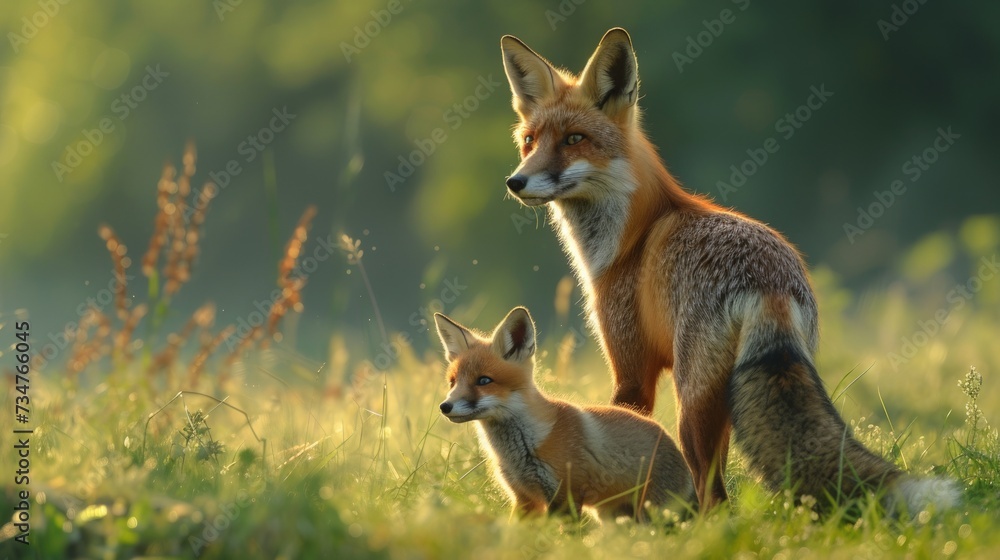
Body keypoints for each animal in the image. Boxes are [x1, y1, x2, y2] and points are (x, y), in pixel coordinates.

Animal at [434, 306, 696, 520]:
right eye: (453, 382)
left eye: (484, 381)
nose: (445, 406)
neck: (523, 447)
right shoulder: (524, 499)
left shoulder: (565, 498)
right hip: (614, 518)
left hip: (655, 515)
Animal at [498, 27, 960, 514]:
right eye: (530, 141)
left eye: (574, 139)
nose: (516, 181)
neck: (631, 238)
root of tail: (770, 282)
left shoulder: (632, 372)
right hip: (731, 396)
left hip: (690, 403)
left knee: (711, 495)